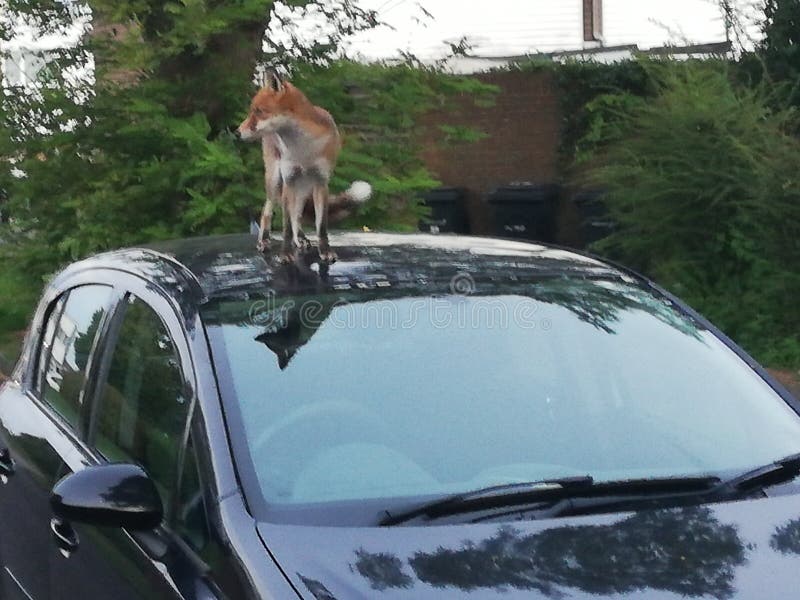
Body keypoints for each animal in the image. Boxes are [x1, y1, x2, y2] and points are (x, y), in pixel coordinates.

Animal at [237, 72, 371, 261]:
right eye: (252, 111)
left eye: (258, 111)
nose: (236, 132)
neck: (304, 149)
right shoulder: (289, 179)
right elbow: (285, 227)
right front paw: (285, 254)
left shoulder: (321, 182)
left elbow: (320, 225)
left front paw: (325, 251)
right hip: (275, 180)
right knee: (267, 211)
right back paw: (264, 240)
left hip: (304, 186)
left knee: (297, 215)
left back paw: (299, 239)